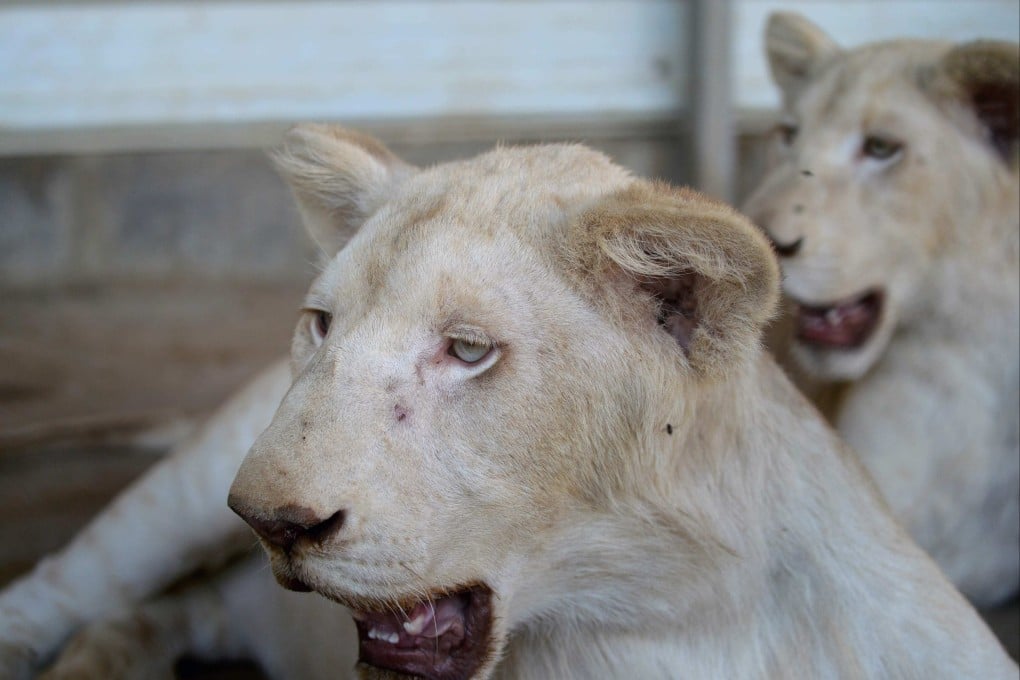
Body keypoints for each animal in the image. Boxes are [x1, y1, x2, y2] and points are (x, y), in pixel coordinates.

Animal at [7, 124, 1014, 679]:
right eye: (321, 325)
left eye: (467, 351)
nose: (268, 523)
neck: (666, 619)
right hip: (176, 498)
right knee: (64, 590)